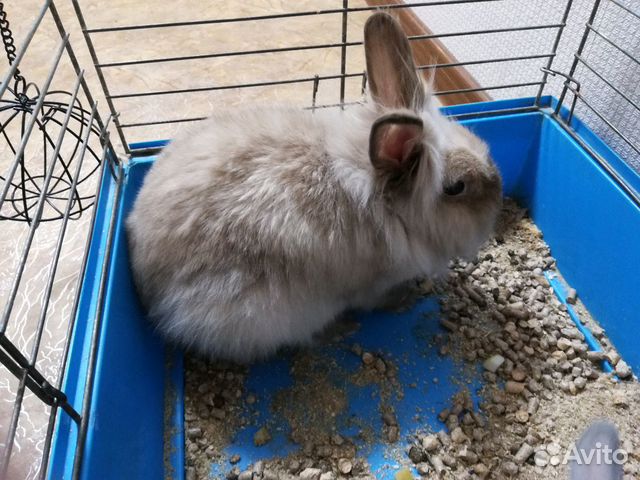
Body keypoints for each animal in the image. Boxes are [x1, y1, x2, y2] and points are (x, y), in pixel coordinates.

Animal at [126, 12, 502, 362]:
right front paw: (403, 299)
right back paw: (341, 328)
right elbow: (375, 298)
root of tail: (147, 290)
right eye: (456, 187)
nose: (497, 193)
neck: (387, 203)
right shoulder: (373, 283)